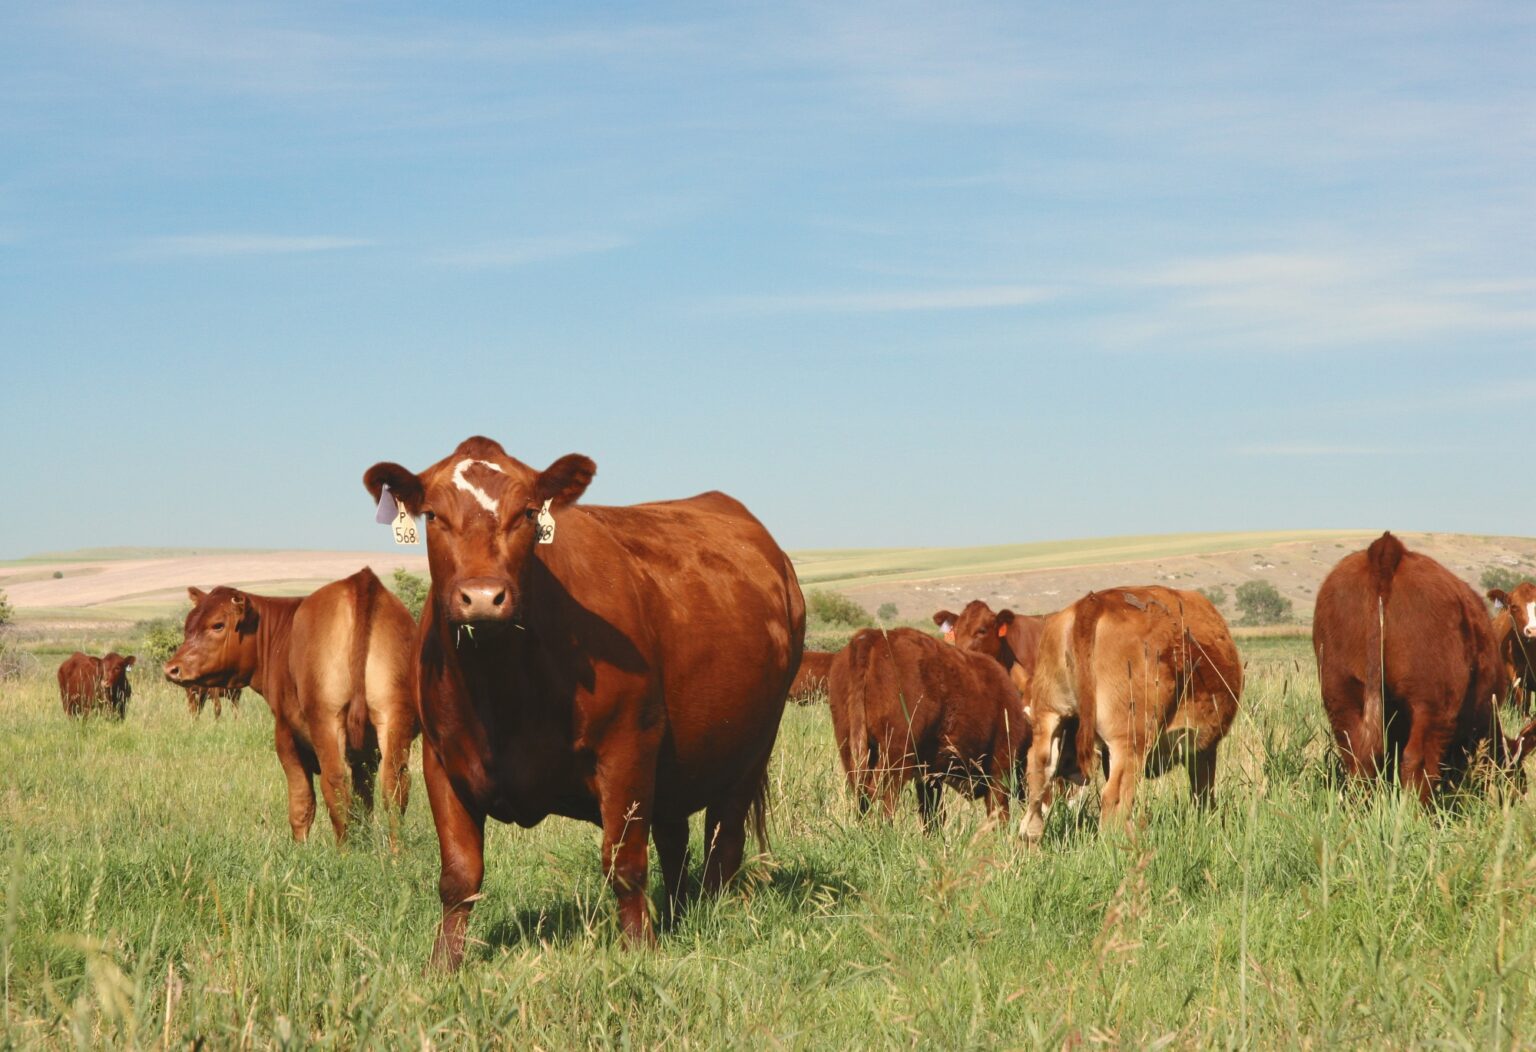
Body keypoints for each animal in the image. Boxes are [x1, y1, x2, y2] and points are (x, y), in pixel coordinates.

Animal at [163, 568, 418, 845]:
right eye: (188, 625)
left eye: (217, 624)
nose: (172, 669)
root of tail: (360, 582)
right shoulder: (366, 753)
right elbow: (364, 802)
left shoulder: (286, 734)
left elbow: (301, 804)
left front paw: (301, 848)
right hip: (393, 719)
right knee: (394, 785)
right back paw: (395, 852)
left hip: (327, 721)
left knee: (335, 782)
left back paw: (344, 850)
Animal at [363, 435, 804, 968]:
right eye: (432, 516)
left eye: (528, 513)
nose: (484, 597)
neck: (501, 692)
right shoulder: (441, 760)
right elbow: (459, 876)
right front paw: (443, 965)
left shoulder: (628, 747)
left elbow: (624, 863)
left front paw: (639, 951)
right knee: (675, 838)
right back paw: (678, 913)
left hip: (750, 750)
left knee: (724, 842)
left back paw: (709, 914)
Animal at [827, 627, 1028, 827]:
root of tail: (873, 637)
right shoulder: (1000, 767)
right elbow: (999, 810)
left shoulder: (929, 775)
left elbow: (932, 813)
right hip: (895, 755)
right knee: (883, 794)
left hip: (851, 747)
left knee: (862, 792)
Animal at [1021, 586, 1242, 843]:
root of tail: (1093, 602)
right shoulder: (1204, 747)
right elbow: (1203, 793)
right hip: (1131, 740)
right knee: (1114, 797)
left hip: (1050, 717)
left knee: (1038, 776)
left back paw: (1030, 838)